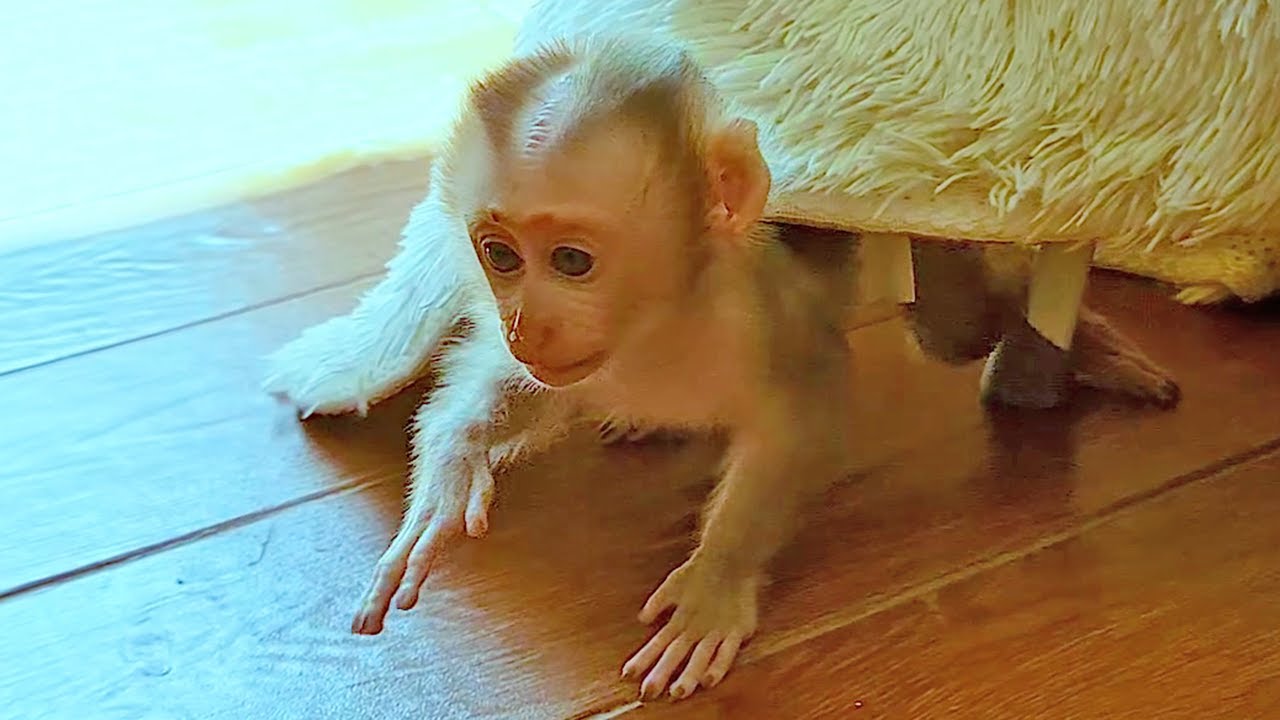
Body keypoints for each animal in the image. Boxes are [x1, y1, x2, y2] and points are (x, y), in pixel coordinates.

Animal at [262, 34, 1180, 701]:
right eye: (499, 255)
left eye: (571, 261)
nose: (527, 318)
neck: (659, 324)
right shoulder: (559, 361)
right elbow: (519, 388)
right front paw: (449, 481)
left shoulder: (764, 318)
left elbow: (801, 415)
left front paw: (714, 584)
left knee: (959, 324)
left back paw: (1068, 348)